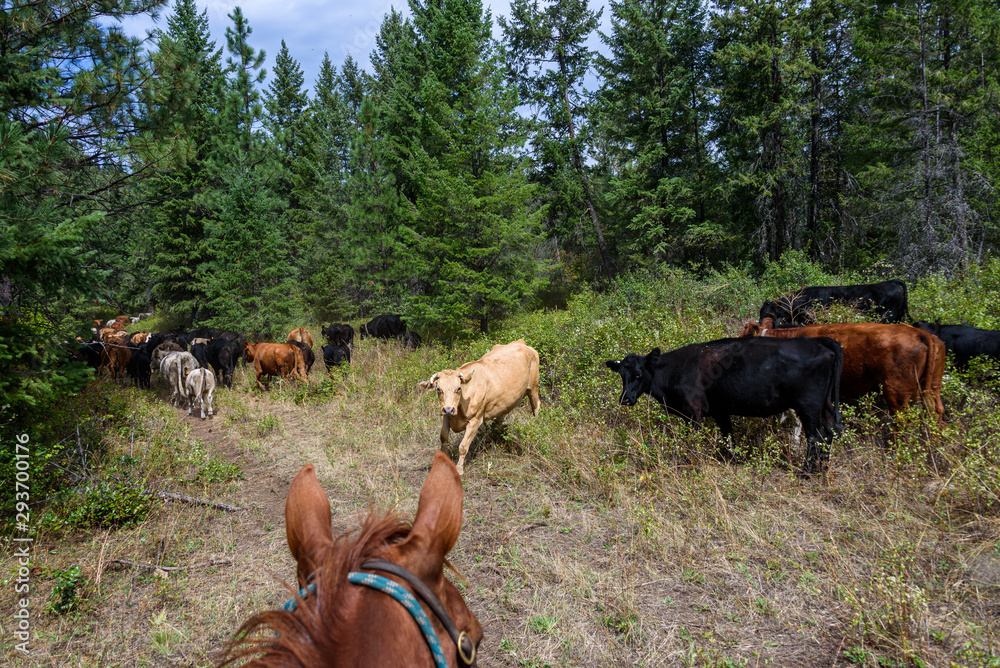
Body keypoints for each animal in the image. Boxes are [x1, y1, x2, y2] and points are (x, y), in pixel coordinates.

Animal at [419, 339, 540, 475]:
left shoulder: (475, 420)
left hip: (533, 387)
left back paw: (536, 426)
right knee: (499, 420)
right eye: (438, 389)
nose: (449, 409)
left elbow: (463, 446)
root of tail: (521, 342)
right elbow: (443, 439)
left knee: (536, 406)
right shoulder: (446, 416)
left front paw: (459, 469)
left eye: (458, 388)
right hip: (505, 401)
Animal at [606, 337, 844, 475]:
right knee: (829, 433)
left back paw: (806, 473)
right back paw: (823, 470)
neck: (674, 370)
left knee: (815, 437)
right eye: (622, 375)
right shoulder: (719, 411)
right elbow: (729, 438)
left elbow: (691, 442)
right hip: (825, 406)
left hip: (808, 406)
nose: (625, 399)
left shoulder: (694, 412)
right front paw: (738, 462)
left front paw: (687, 464)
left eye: (639, 374)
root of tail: (819, 342)